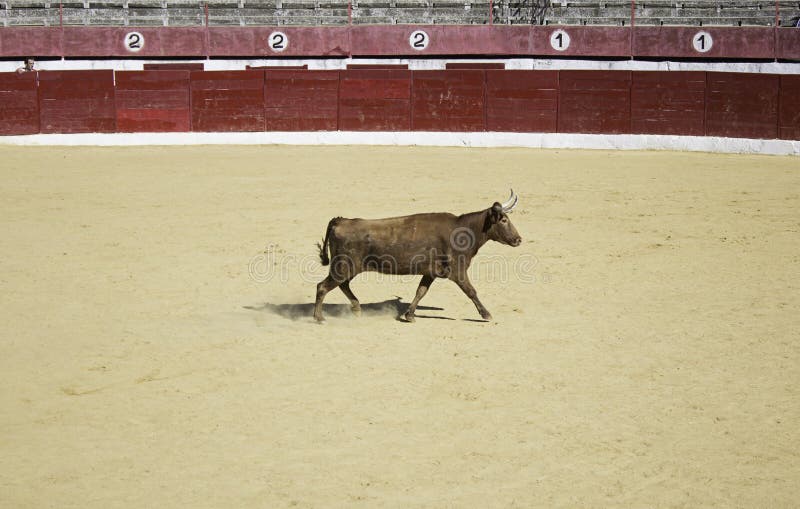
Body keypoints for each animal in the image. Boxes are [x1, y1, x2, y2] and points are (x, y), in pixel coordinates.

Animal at [314, 190, 522, 322]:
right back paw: (320, 317)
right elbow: (471, 291)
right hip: (344, 266)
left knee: (342, 285)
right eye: (504, 220)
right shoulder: (458, 271)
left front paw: (410, 315)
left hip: (347, 268)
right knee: (323, 286)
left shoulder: (430, 272)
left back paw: (357, 309)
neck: (462, 230)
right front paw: (486, 315)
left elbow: (420, 292)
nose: (518, 239)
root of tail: (341, 221)